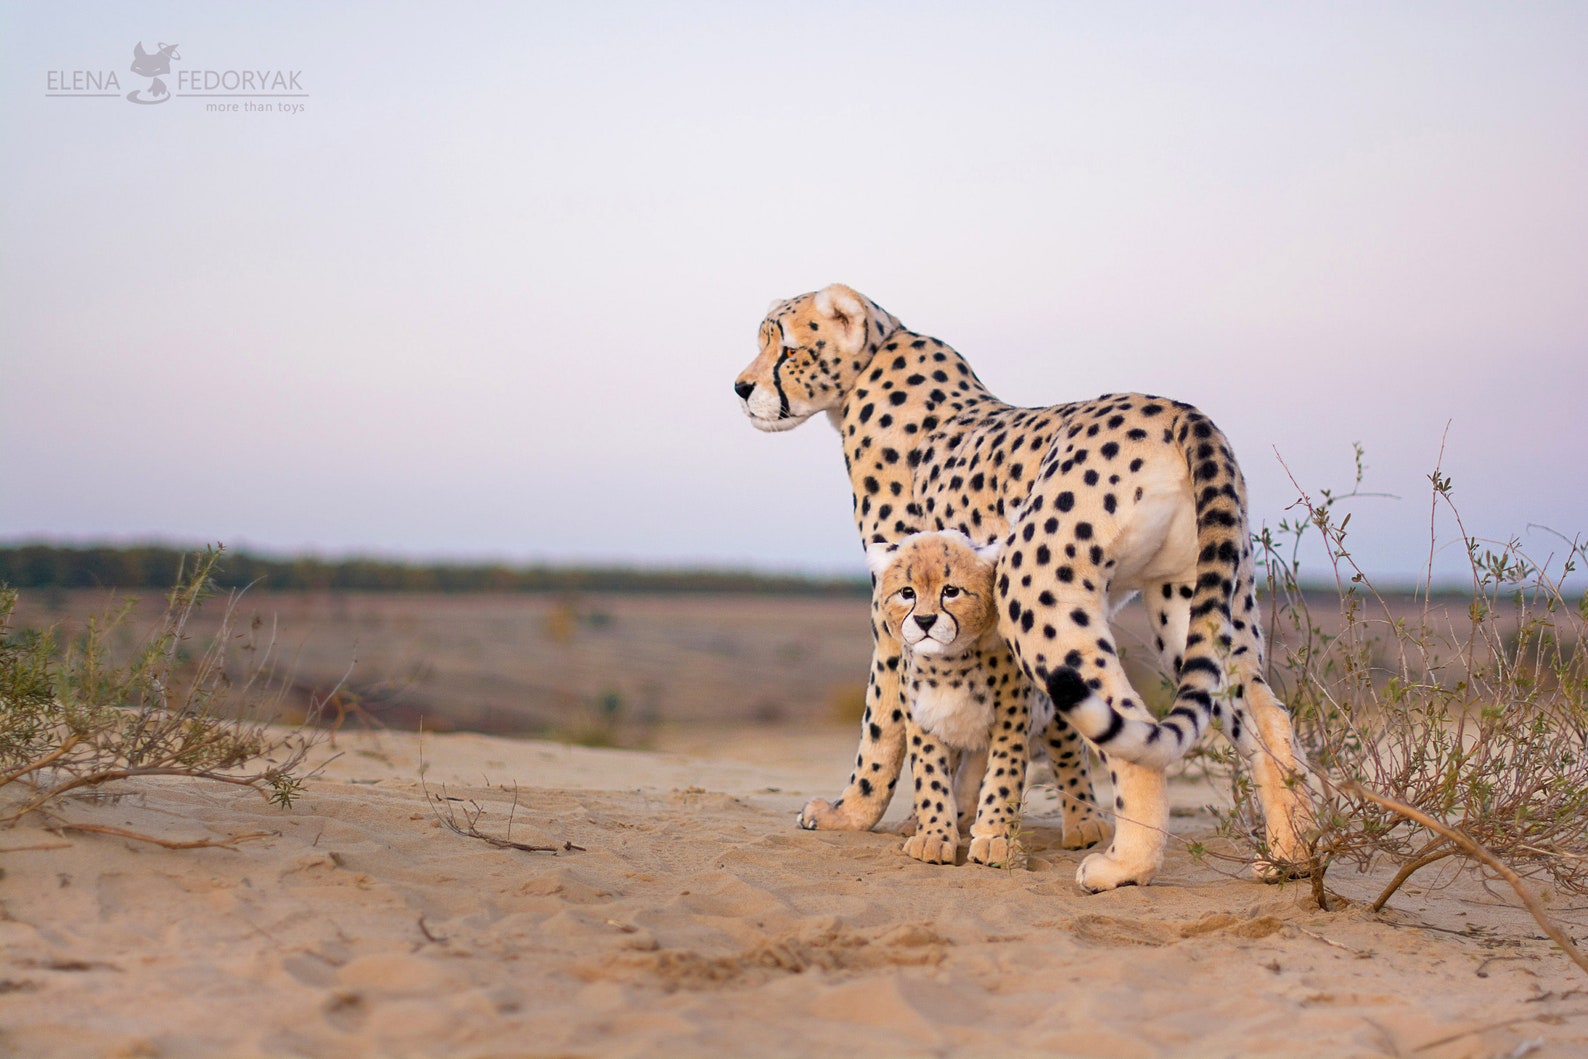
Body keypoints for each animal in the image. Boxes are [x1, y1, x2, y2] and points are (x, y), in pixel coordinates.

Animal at [867, 529, 1111, 867]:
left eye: (951, 590)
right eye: (907, 592)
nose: (925, 621)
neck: (947, 663)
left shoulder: (1010, 723)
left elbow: (1002, 779)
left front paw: (995, 840)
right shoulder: (924, 726)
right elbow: (931, 780)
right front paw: (933, 837)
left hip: (1057, 718)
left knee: (1071, 761)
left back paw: (1085, 825)